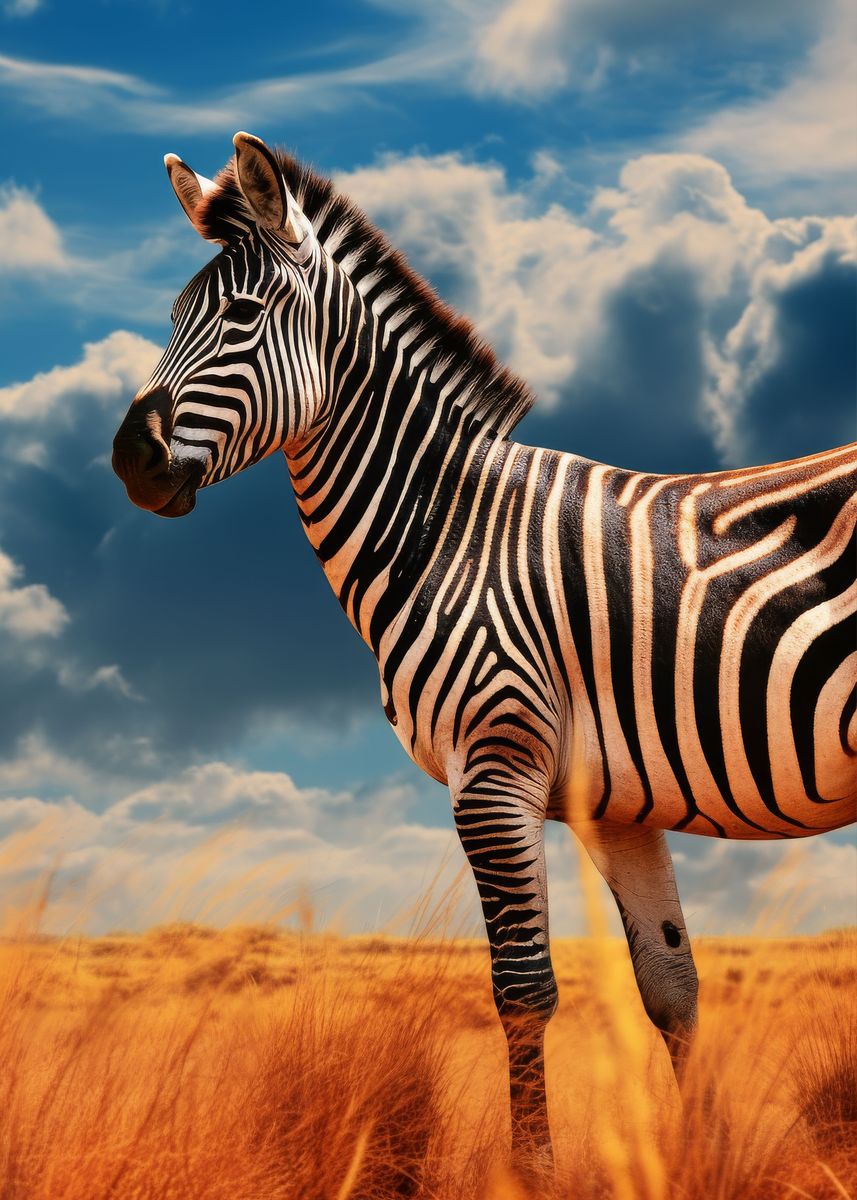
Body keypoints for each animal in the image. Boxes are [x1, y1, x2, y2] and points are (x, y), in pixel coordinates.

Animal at [112, 132, 857, 1173]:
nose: (127, 462)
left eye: (242, 317)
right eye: (174, 317)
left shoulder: (494, 769)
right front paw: (696, 1161)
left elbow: (523, 991)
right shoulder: (610, 803)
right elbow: (670, 986)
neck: (448, 529)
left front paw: (532, 1171)